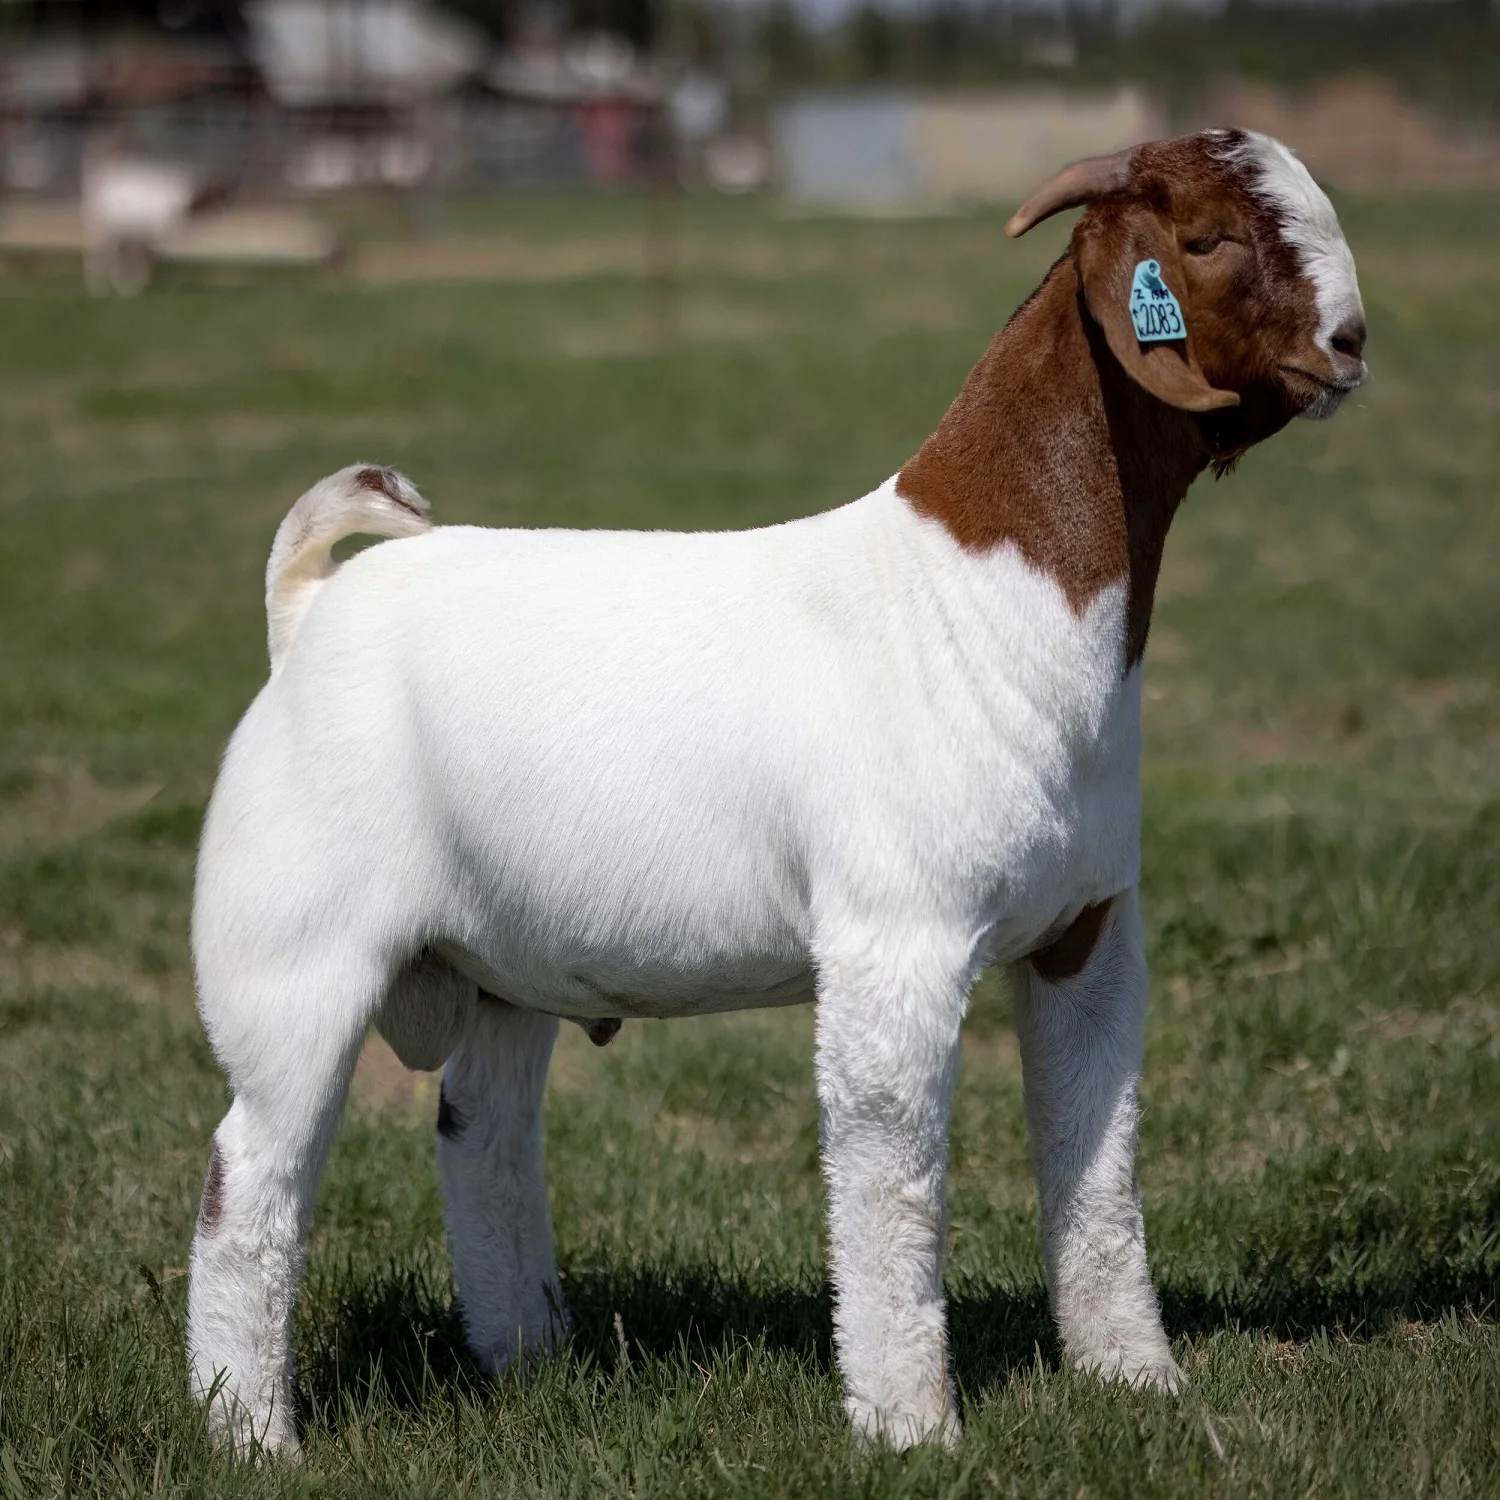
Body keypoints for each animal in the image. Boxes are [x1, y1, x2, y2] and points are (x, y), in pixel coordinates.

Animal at [187, 129, 1366, 1453]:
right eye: (1207, 239)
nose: (1351, 342)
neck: (973, 592)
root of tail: (307, 614)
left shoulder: (1089, 930)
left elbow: (1097, 1157)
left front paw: (1137, 1383)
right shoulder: (896, 942)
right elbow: (891, 1176)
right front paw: (912, 1426)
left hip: (502, 959)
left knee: (482, 1131)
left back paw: (532, 1362)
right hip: (294, 950)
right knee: (249, 1180)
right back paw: (251, 1434)